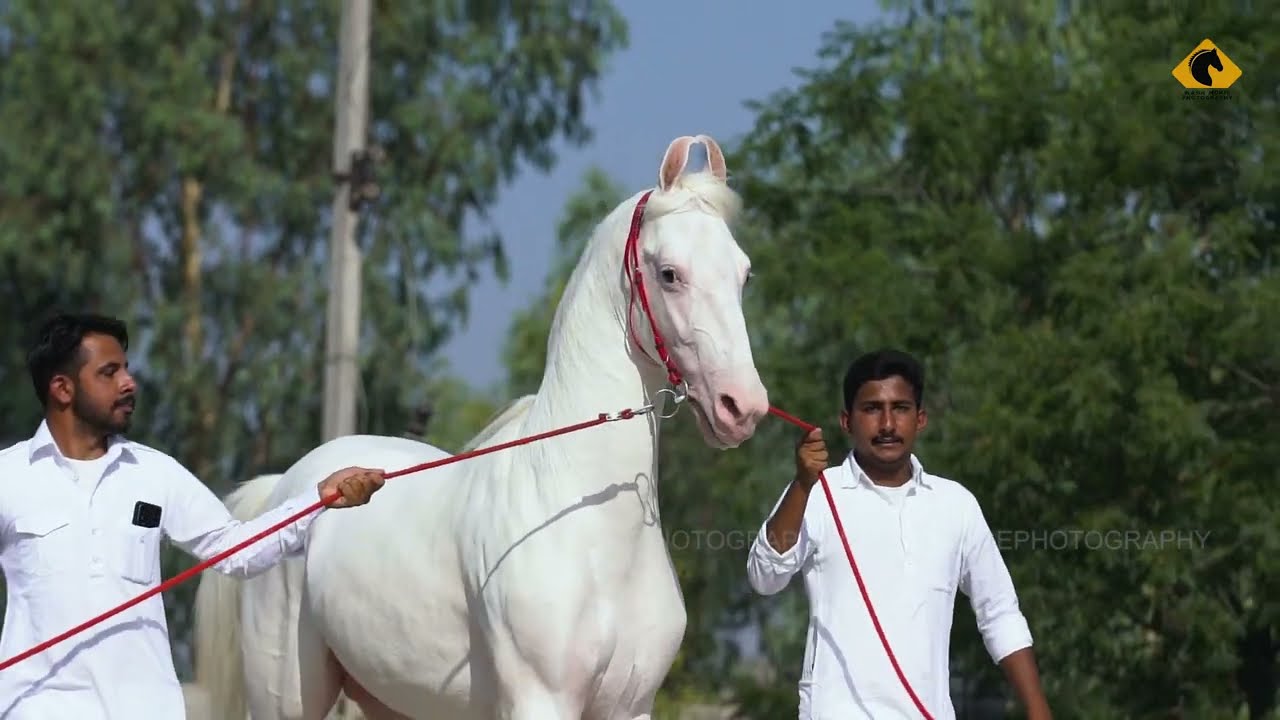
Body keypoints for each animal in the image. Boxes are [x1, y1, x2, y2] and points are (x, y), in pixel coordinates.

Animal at [191, 133, 771, 720]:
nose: (741, 406)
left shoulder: (630, 708)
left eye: (744, 273)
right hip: (287, 697)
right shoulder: (541, 700)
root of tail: (285, 490)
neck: (592, 527)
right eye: (670, 273)